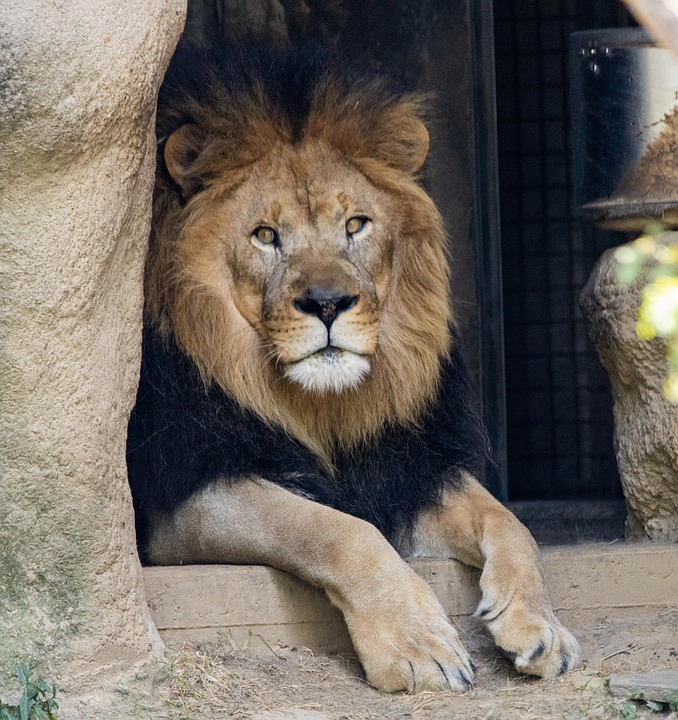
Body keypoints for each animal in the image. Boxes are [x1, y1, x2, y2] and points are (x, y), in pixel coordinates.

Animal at [127, 40, 580, 693]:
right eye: (266, 235)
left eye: (356, 225)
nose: (327, 303)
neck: (325, 410)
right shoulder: (183, 495)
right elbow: (335, 530)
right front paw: (417, 645)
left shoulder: (404, 466)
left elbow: (510, 521)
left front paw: (540, 626)